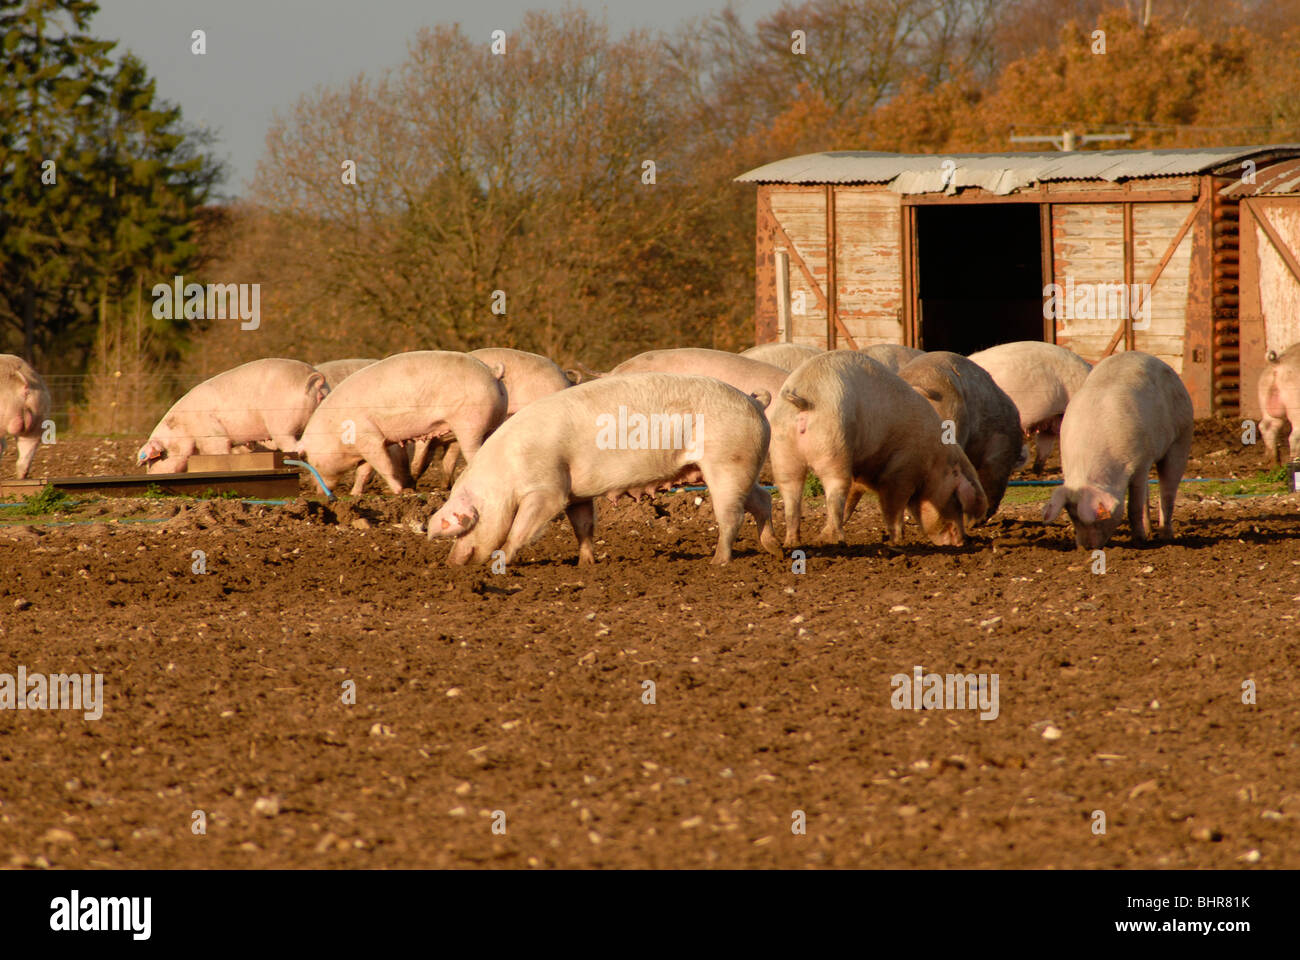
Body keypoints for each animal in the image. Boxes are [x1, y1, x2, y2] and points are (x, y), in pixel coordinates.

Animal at [137, 358, 329, 473]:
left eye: (156, 459)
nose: (151, 475)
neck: (183, 427)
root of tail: (314, 379)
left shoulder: (211, 434)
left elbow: (218, 449)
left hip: (282, 422)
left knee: (293, 444)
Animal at [299, 350, 507, 496]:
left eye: (310, 460)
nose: (317, 492)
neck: (335, 429)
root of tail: (492, 373)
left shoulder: (369, 437)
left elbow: (384, 466)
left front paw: (398, 491)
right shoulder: (368, 445)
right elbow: (364, 471)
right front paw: (355, 494)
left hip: (469, 425)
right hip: (493, 424)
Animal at [426, 373, 781, 565]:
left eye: (467, 526)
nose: (451, 562)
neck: (505, 475)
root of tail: (756, 402)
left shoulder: (548, 490)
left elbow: (521, 528)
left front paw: (500, 561)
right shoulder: (576, 493)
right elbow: (583, 526)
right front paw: (587, 563)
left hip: (727, 463)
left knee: (731, 515)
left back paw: (717, 561)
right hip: (741, 467)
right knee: (762, 500)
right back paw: (775, 549)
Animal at [768, 352, 987, 548]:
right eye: (956, 499)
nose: (961, 542)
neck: (932, 461)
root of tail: (805, 400)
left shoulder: (863, 472)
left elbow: (854, 496)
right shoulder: (901, 472)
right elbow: (893, 508)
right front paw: (898, 542)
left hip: (783, 451)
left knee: (791, 495)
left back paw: (792, 542)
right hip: (833, 446)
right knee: (834, 493)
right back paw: (835, 539)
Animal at [1043, 351, 1193, 549]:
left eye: (1096, 519)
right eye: (1072, 516)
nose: (1084, 548)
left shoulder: (1141, 462)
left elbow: (1133, 507)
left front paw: (1139, 541)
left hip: (1182, 436)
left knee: (1167, 491)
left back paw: (1166, 537)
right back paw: (1150, 531)